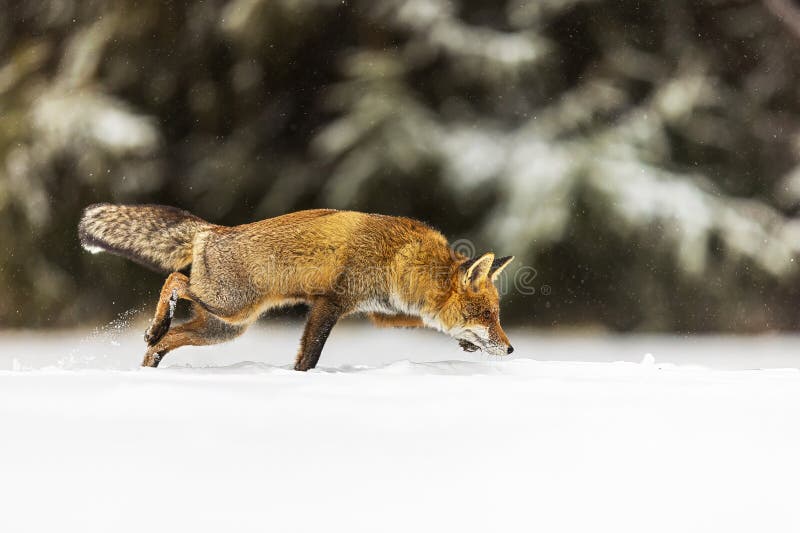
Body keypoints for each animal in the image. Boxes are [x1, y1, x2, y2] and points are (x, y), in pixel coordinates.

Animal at [78, 204, 515, 370]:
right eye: (487, 314)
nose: (511, 349)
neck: (402, 260)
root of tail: (211, 231)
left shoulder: (380, 311)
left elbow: (425, 322)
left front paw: (466, 343)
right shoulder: (331, 303)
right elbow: (310, 354)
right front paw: (301, 380)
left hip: (222, 329)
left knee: (167, 339)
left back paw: (150, 364)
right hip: (229, 308)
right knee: (174, 281)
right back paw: (155, 327)